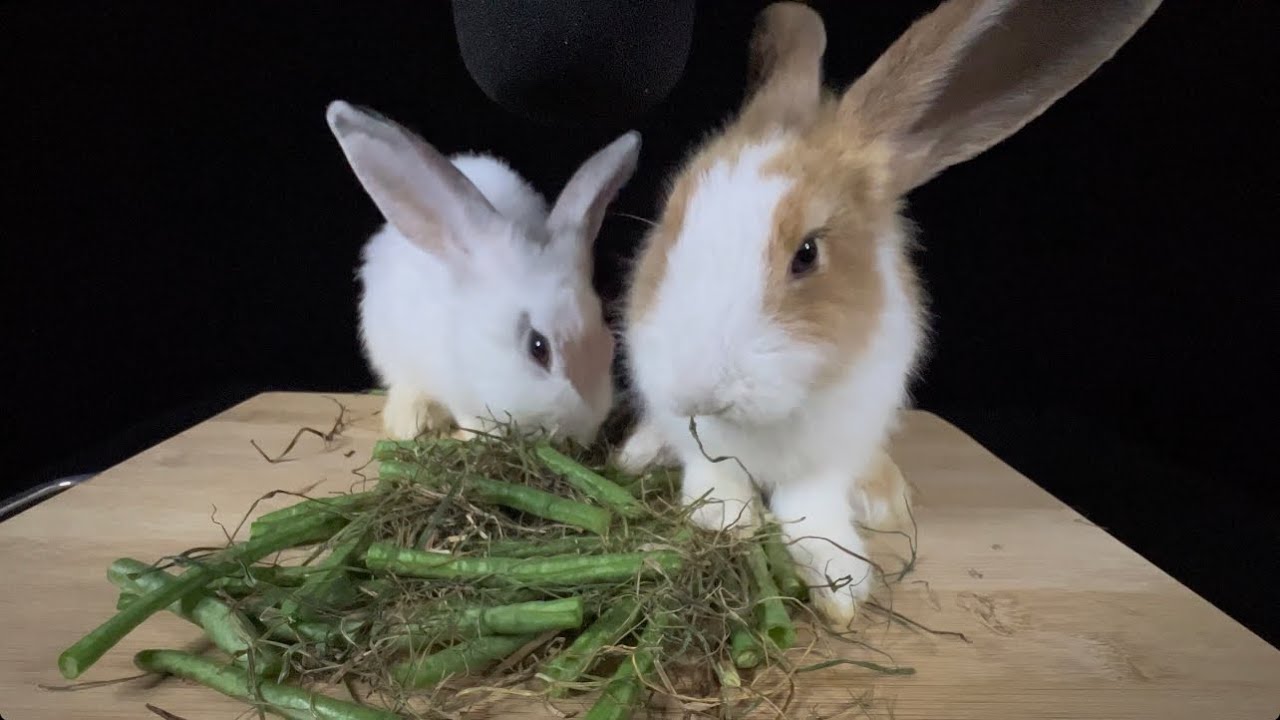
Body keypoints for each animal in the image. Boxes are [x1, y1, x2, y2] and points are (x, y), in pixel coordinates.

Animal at [616, 0, 1162, 626]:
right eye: (671, 219)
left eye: (808, 253)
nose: (697, 388)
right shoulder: (699, 441)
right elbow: (716, 478)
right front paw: (724, 522)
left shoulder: (835, 449)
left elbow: (810, 507)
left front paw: (842, 586)